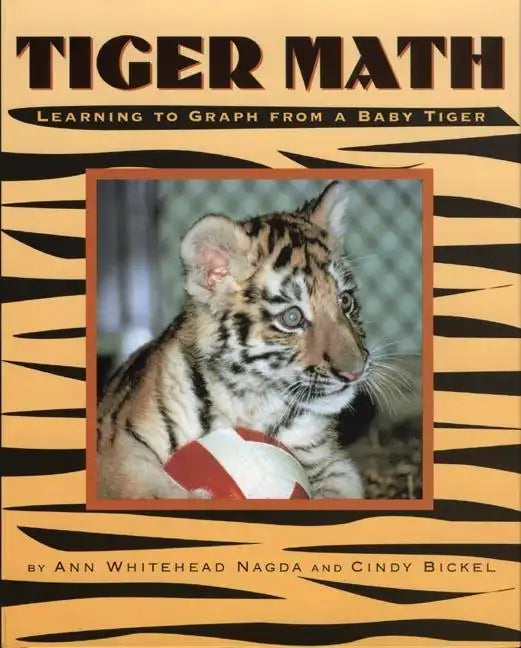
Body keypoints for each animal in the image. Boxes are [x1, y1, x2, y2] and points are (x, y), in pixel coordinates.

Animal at [97, 181, 374, 499]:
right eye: (292, 317)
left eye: (346, 301)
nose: (355, 372)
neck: (251, 402)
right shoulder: (119, 450)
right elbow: (156, 491)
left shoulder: (332, 463)